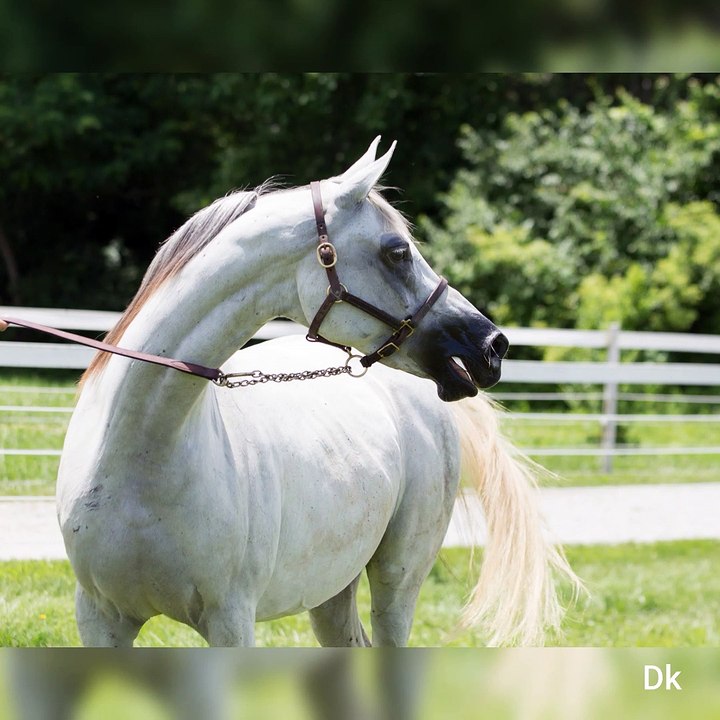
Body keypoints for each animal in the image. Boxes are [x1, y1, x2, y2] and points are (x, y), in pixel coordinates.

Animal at [56, 137, 580, 647]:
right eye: (397, 251)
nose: (491, 346)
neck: (142, 454)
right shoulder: (98, 619)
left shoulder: (231, 620)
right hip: (331, 588)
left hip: (398, 578)